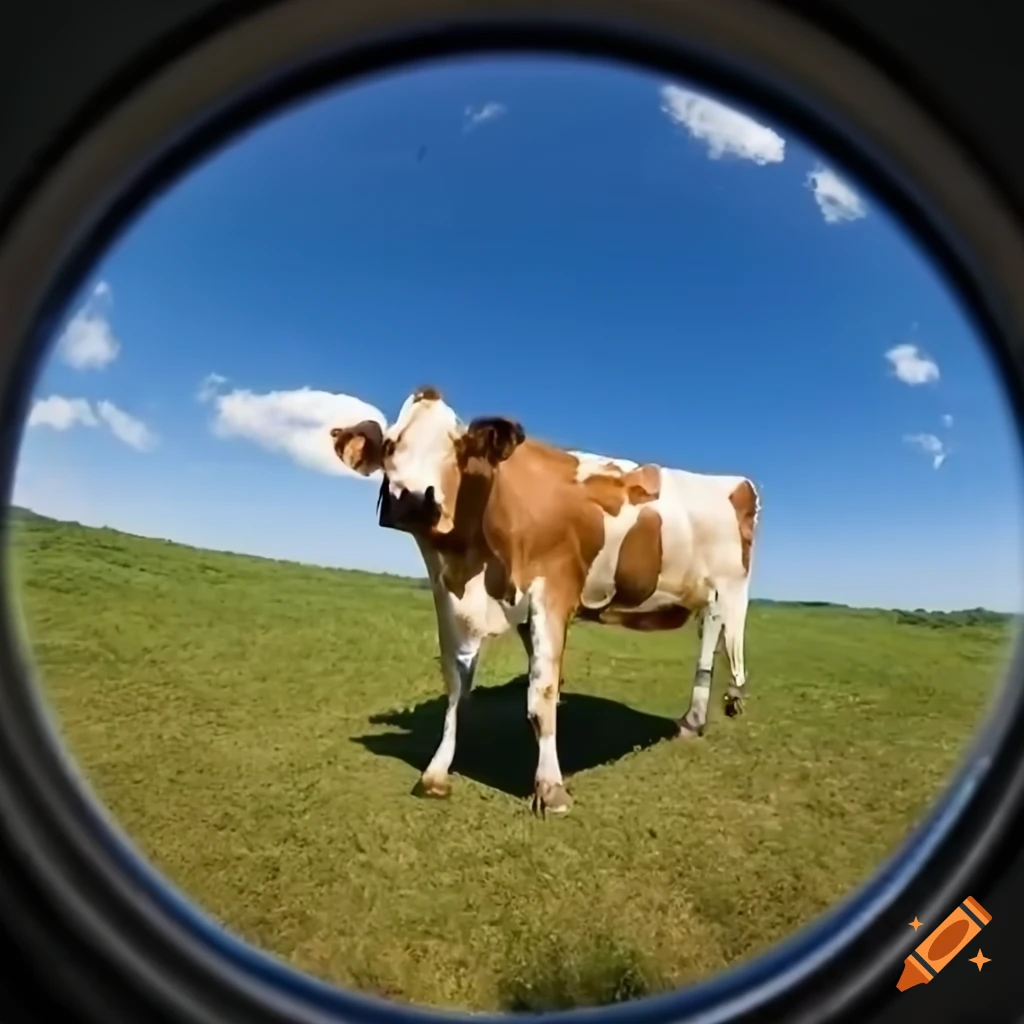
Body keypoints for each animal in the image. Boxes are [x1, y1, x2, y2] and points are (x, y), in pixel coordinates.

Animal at [330, 386, 759, 816]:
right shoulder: (447, 595)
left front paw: (550, 788)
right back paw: (692, 721)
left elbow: (542, 693)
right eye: (390, 444)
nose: (412, 500)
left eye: (458, 446)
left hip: (728, 590)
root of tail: (737, 483)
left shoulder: (553, 591)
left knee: (722, 646)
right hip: (706, 596)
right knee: (709, 640)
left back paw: (713, 708)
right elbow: (456, 687)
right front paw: (436, 772)